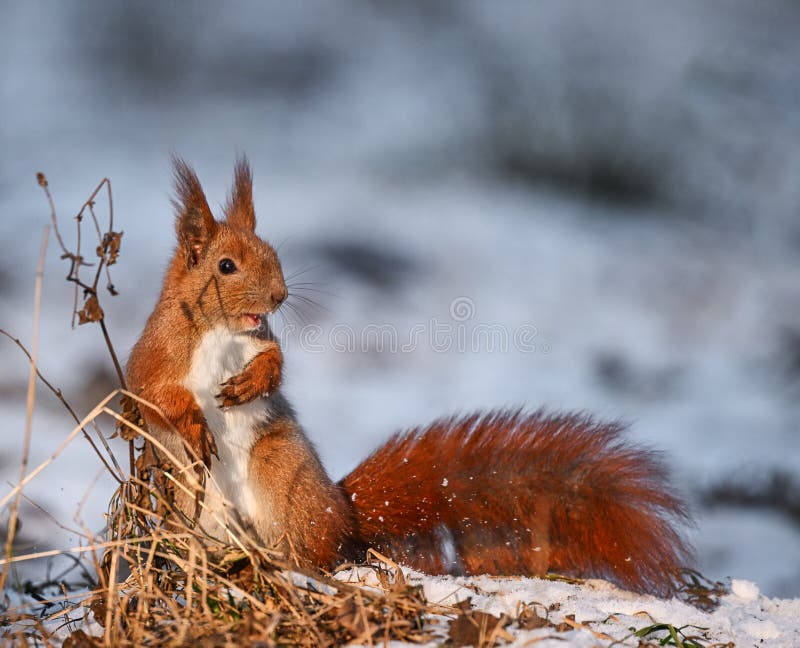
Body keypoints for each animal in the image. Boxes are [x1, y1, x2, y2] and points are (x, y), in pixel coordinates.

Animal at [125, 157, 692, 595]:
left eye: (274, 254)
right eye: (225, 266)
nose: (279, 296)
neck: (222, 331)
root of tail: (344, 512)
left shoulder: (261, 339)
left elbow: (276, 365)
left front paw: (251, 383)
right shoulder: (158, 354)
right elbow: (152, 392)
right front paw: (194, 423)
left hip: (282, 474)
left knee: (316, 553)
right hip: (193, 504)